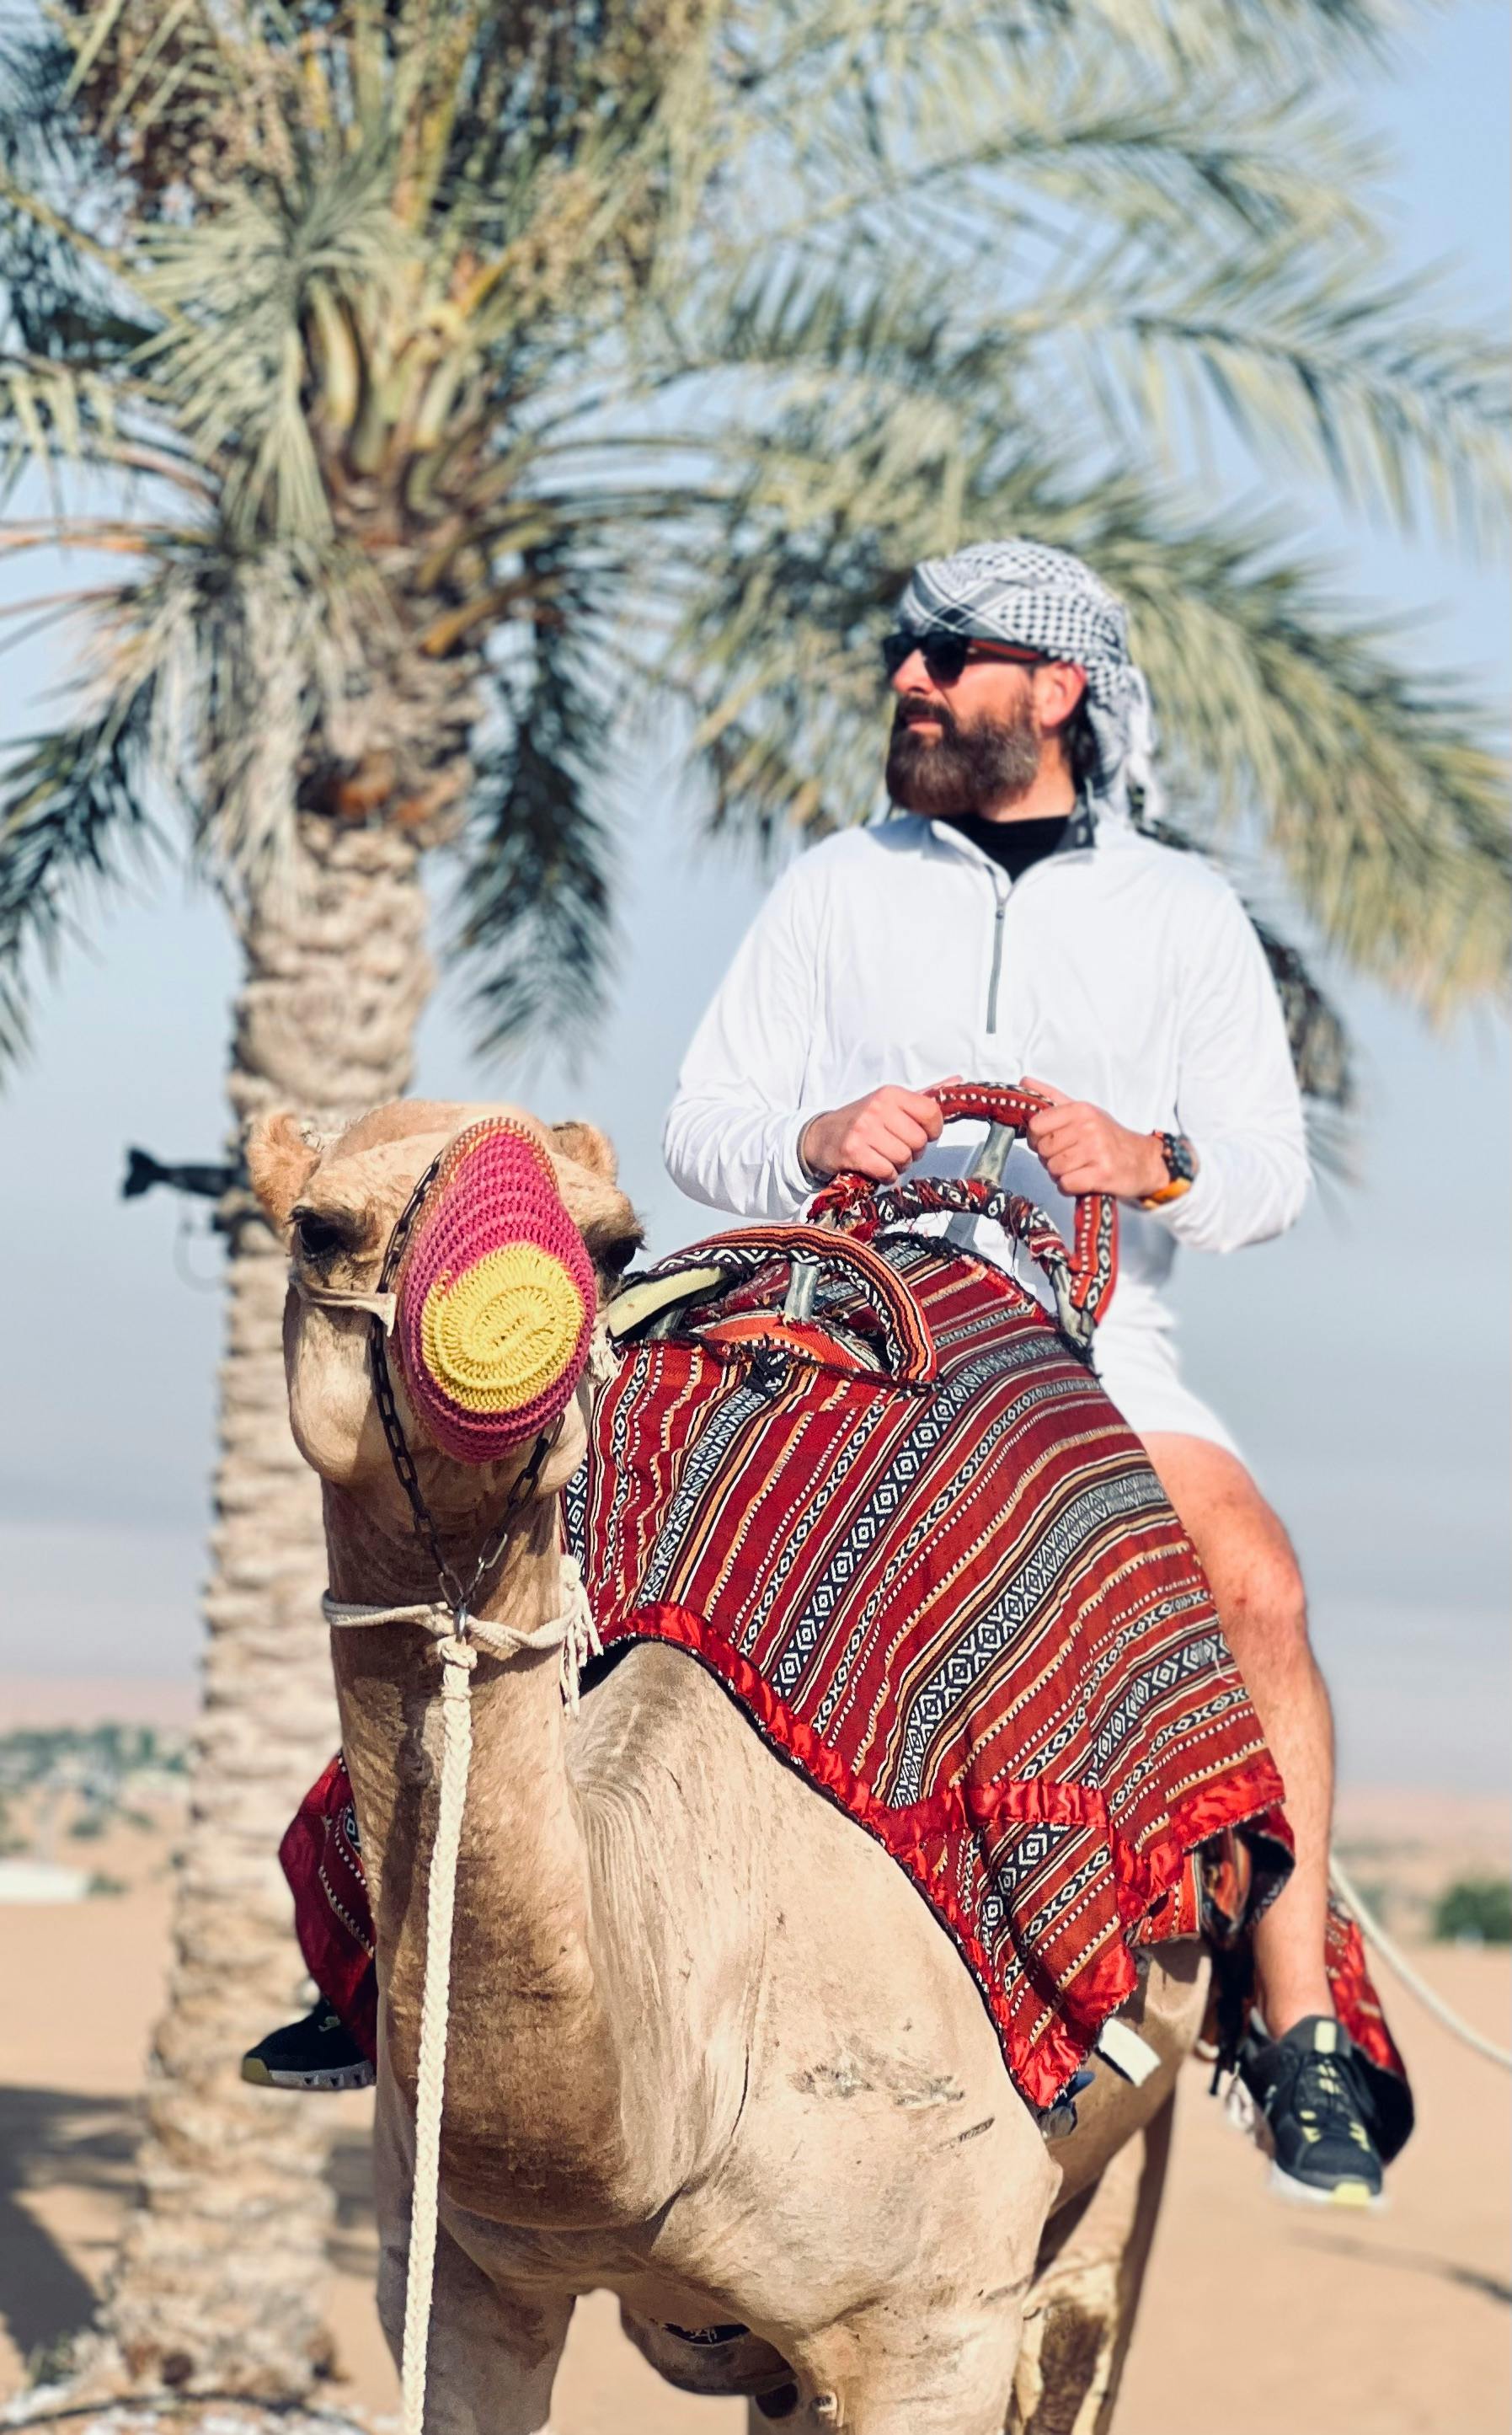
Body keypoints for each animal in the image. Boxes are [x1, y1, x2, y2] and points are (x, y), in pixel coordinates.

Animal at [249, 1094, 1213, 2435]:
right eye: (320, 1227)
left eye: (612, 1245)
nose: (506, 1325)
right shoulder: (447, 2280)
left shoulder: (936, 2325)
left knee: (1082, 2319)